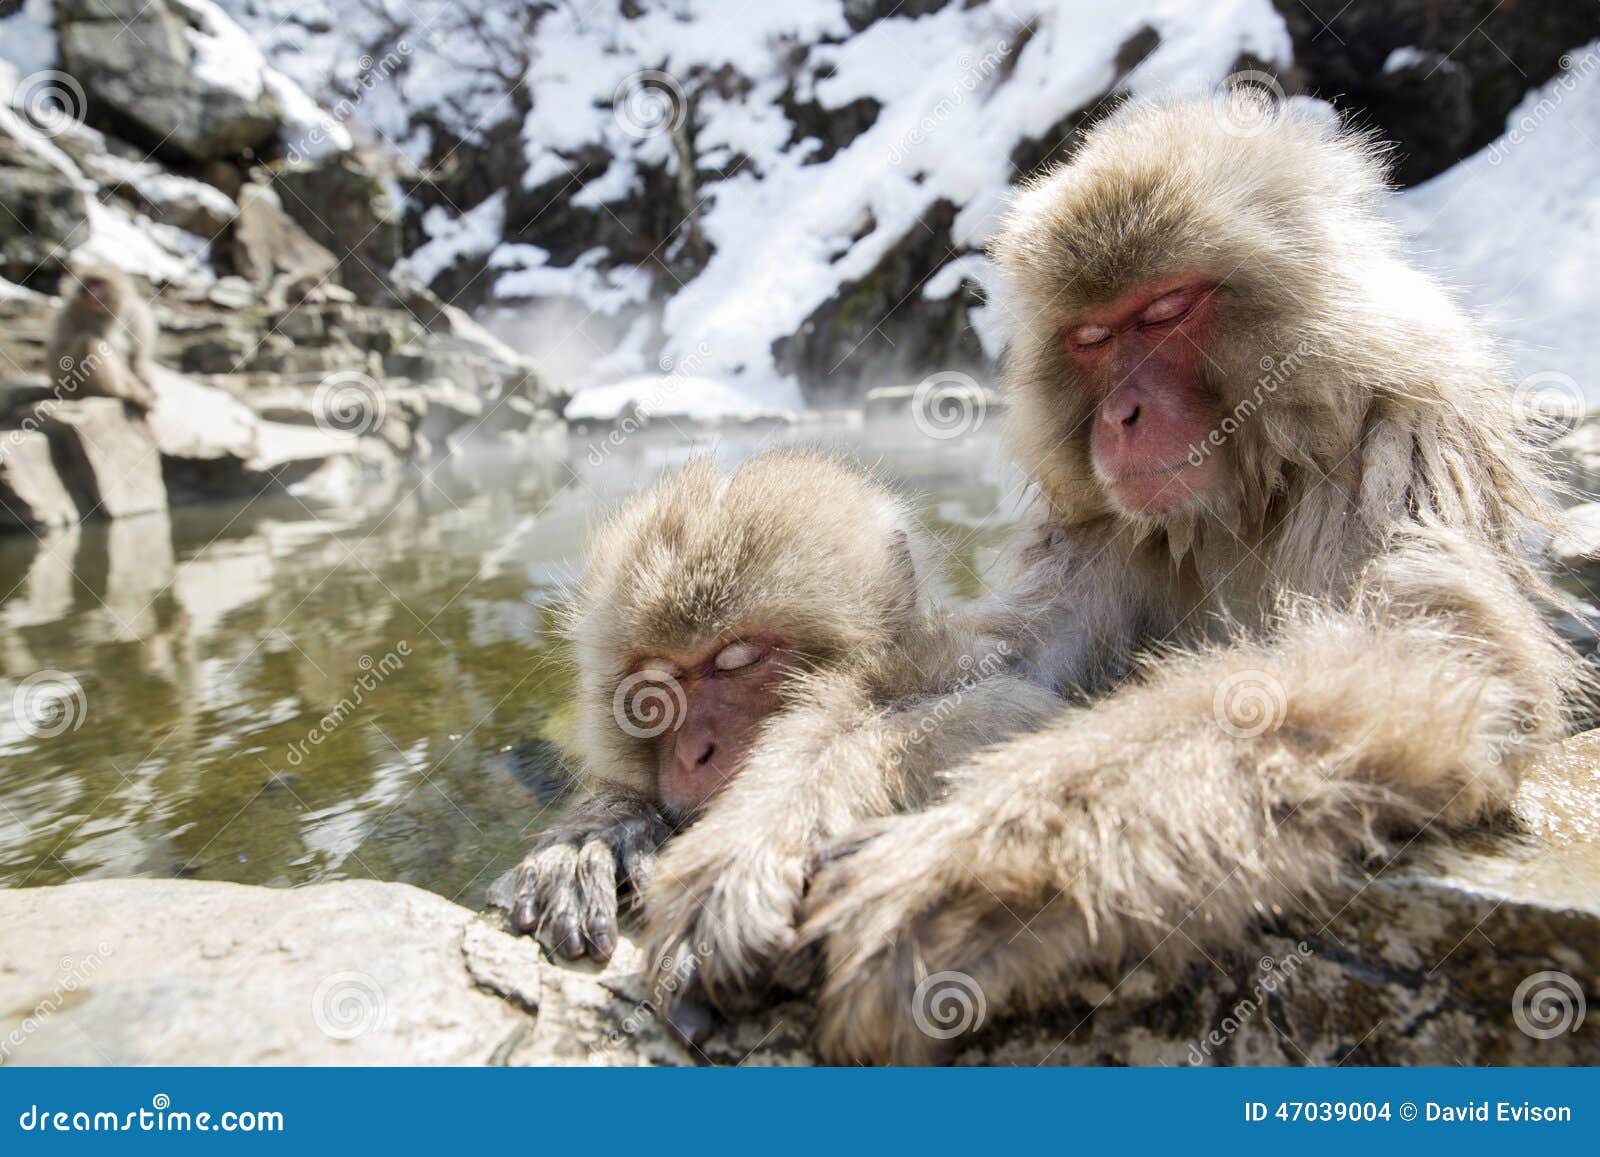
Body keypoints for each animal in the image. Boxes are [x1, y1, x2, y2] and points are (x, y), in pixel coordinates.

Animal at [47, 265, 159, 410]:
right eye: (89, 283)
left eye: (97, 283)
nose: (90, 292)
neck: (111, 312)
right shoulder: (79, 312)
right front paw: (139, 392)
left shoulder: (137, 314)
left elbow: (137, 358)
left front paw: (148, 384)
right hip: (74, 387)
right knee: (88, 341)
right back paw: (122, 393)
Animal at [510, 449, 1062, 998]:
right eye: (654, 688)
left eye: (739, 659)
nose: (693, 753)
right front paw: (607, 825)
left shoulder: (953, 661)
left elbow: (1008, 710)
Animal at [638, 94, 1589, 1064]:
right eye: (1092, 337)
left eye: (1166, 310)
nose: (1124, 415)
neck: (1241, 495)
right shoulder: (1106, 525)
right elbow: (998, 663)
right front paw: (760, 833)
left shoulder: (1390, 437)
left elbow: (1420, 652)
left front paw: (954, 876)